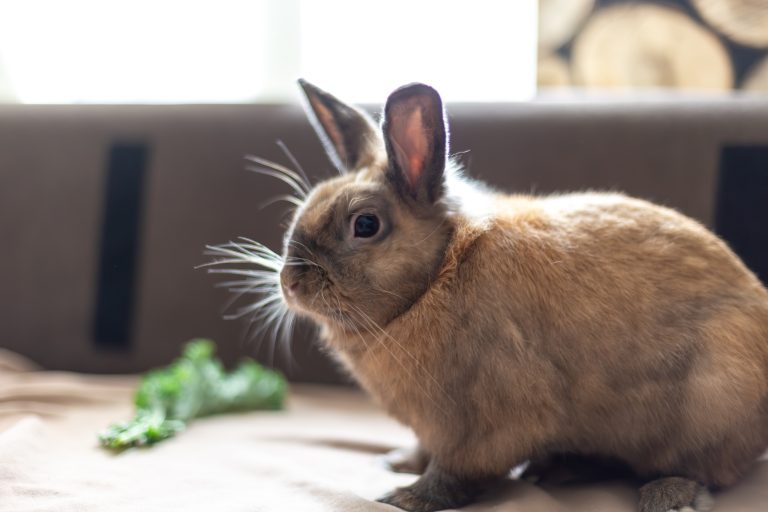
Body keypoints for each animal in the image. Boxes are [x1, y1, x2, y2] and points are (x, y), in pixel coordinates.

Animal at [215, 80, 768, 512]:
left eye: (365, 225)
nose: (290, 282)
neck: (437, 275)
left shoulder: (484, 422)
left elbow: (455, 471)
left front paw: (405, 496)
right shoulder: (433, 425)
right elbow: (426, 450)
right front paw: (398, 463)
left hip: (707, 403)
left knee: (703, 468)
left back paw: (664, 494)